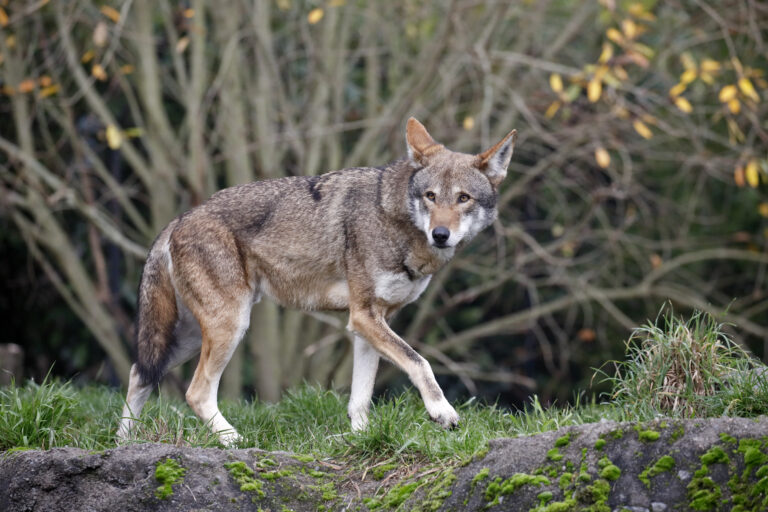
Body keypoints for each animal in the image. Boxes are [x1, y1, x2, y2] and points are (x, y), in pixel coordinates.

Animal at [117, 118, 517, 445]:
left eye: (463, 198)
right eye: (431, 196)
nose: (441, 234)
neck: (395, 220)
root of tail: (180, 218)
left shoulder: (369, 323)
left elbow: (360, 398)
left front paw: (362, 441)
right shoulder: (364, 317)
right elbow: (420, 362)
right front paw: (442, 412)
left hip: (187, 337)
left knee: (139, 373)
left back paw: (123, 443)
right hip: (229, 327)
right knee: (195, 392)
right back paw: (235, 440)